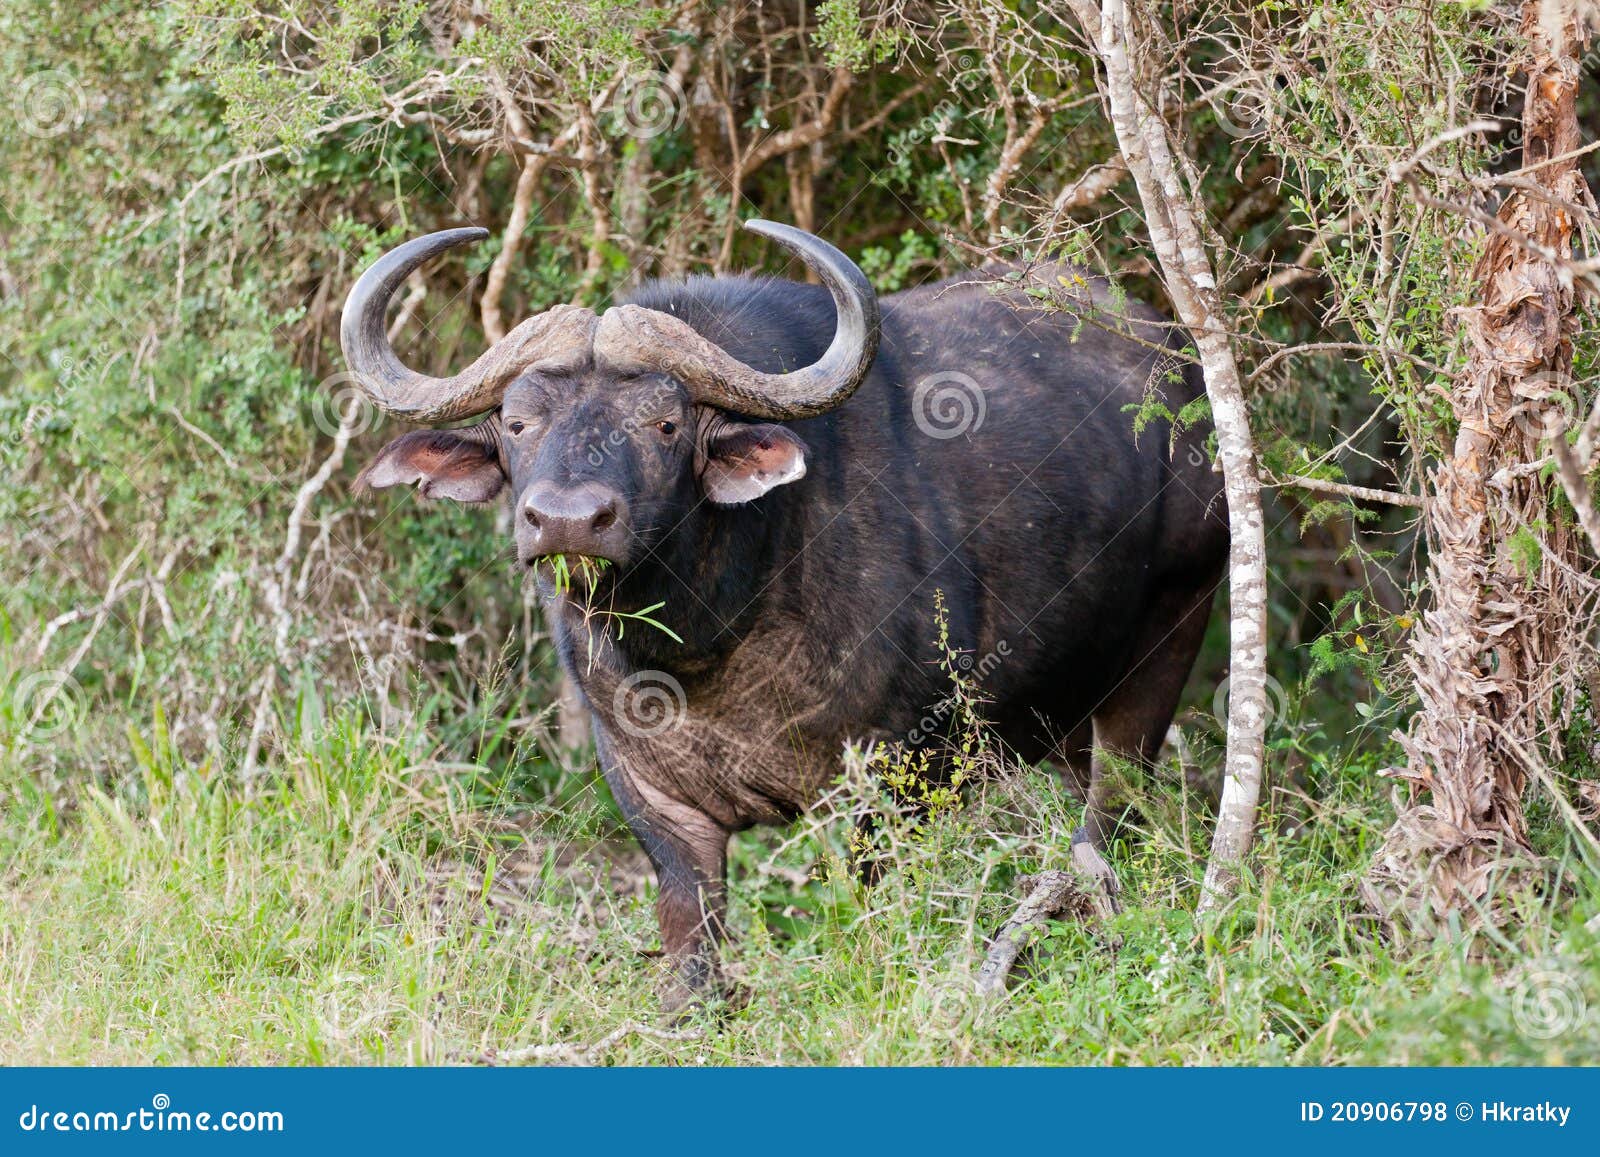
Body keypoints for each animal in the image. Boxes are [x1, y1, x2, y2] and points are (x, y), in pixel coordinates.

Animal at [343, 221, 1227, 1008]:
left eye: (665, 424)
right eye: (519, 423)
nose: (566, 520)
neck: (708, 645)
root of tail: (1182, 379)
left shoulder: (890, 773)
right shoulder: (650, 791)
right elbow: (690, 920)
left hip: (1171, 634)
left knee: (1114, 812)